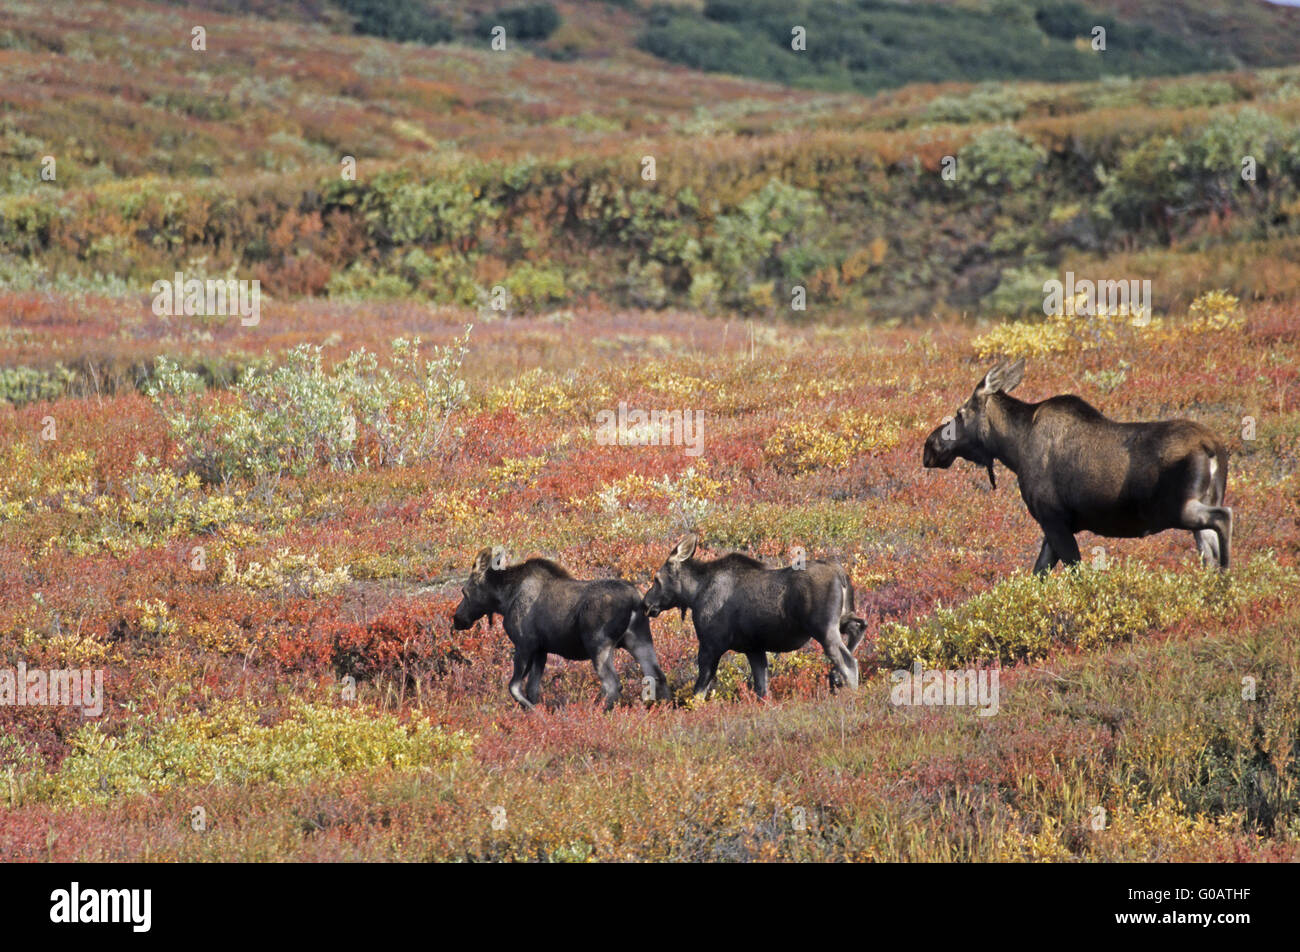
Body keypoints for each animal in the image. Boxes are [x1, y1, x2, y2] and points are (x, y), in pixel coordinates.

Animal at [451, 547, 669, 710]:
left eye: (464, 591)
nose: (457, 618)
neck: (504, 599)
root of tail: (635, 601)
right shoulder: (541, 650)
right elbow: (532, 689)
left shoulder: (525, 644)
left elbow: (514, 687)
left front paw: (534, 711)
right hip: (640, 639)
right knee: (657, 676)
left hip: (599, 644)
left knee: (612, 685)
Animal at [641, 534, 865, 699]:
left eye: (657, 579)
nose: (646, 603)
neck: (693, 593)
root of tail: (841, 574)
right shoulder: (753, 648)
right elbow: (761, 688)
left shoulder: (711, 644)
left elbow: (699, 690)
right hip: (841, 619)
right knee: (860, 626)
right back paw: (835, 677)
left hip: (824, 628)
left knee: (849, 662)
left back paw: (851, 694)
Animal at [921, 359, 1232, 572]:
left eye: (960, 412)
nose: (930, 446)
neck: (1014, 450)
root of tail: (1213, 447)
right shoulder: (1054, 525)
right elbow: (1038, 572)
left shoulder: (1053, 518)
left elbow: (1075, 573)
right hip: (1202, 502)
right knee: (1210, 551)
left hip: (1178, 508)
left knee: (1223, 518)